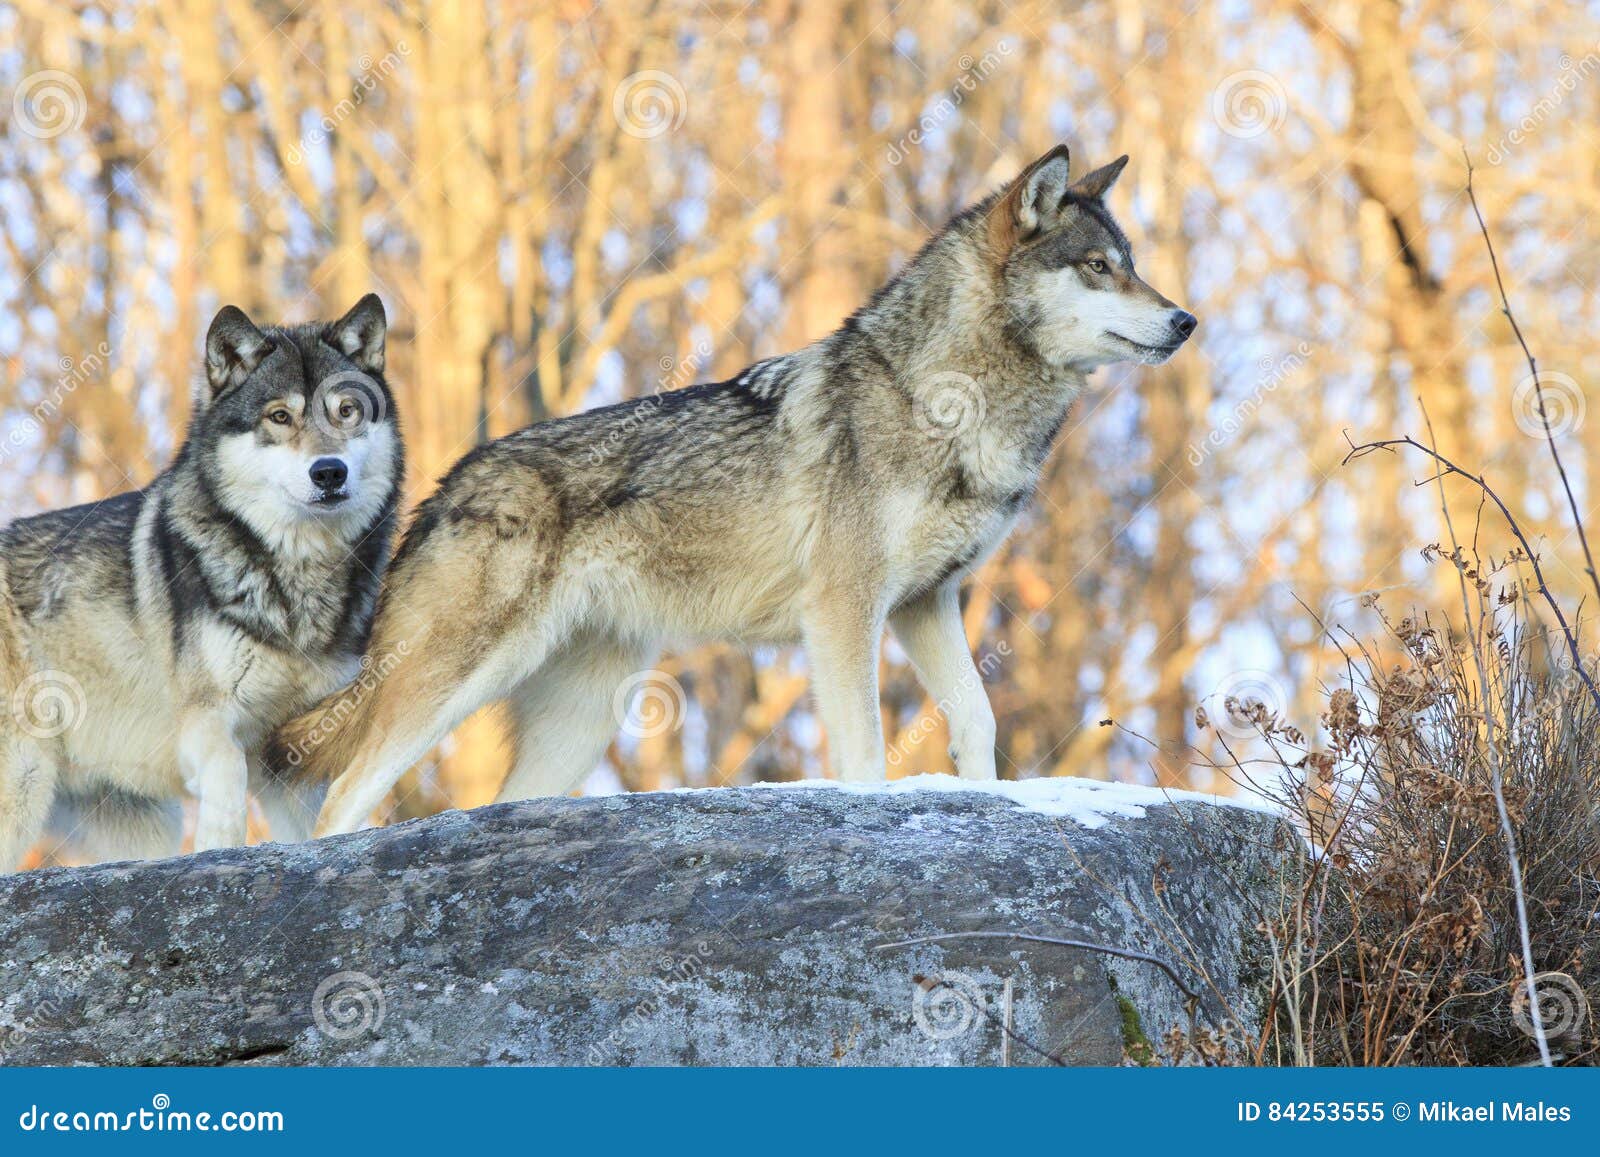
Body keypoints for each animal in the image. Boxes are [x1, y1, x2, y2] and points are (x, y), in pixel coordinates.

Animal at [0, 295, 402, 869]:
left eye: (346, 411)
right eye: (279, 416)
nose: (329, 472)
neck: (297, 577)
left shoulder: (295, 753)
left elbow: (321, 827)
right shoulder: (204, 723)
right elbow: (229, 772)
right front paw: (218, 846)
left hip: (139, 822)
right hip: (24, 786)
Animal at [272, 146, 1195, 836]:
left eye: (1132, 266)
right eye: (1098, 267)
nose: (1186, 320)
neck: (939, 397)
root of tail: (444, 483)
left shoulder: (926, 604)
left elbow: (978, 720)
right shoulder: (844, 611)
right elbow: (865, 754)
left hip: (581, 720)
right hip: (453, 680)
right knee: (341, 797)